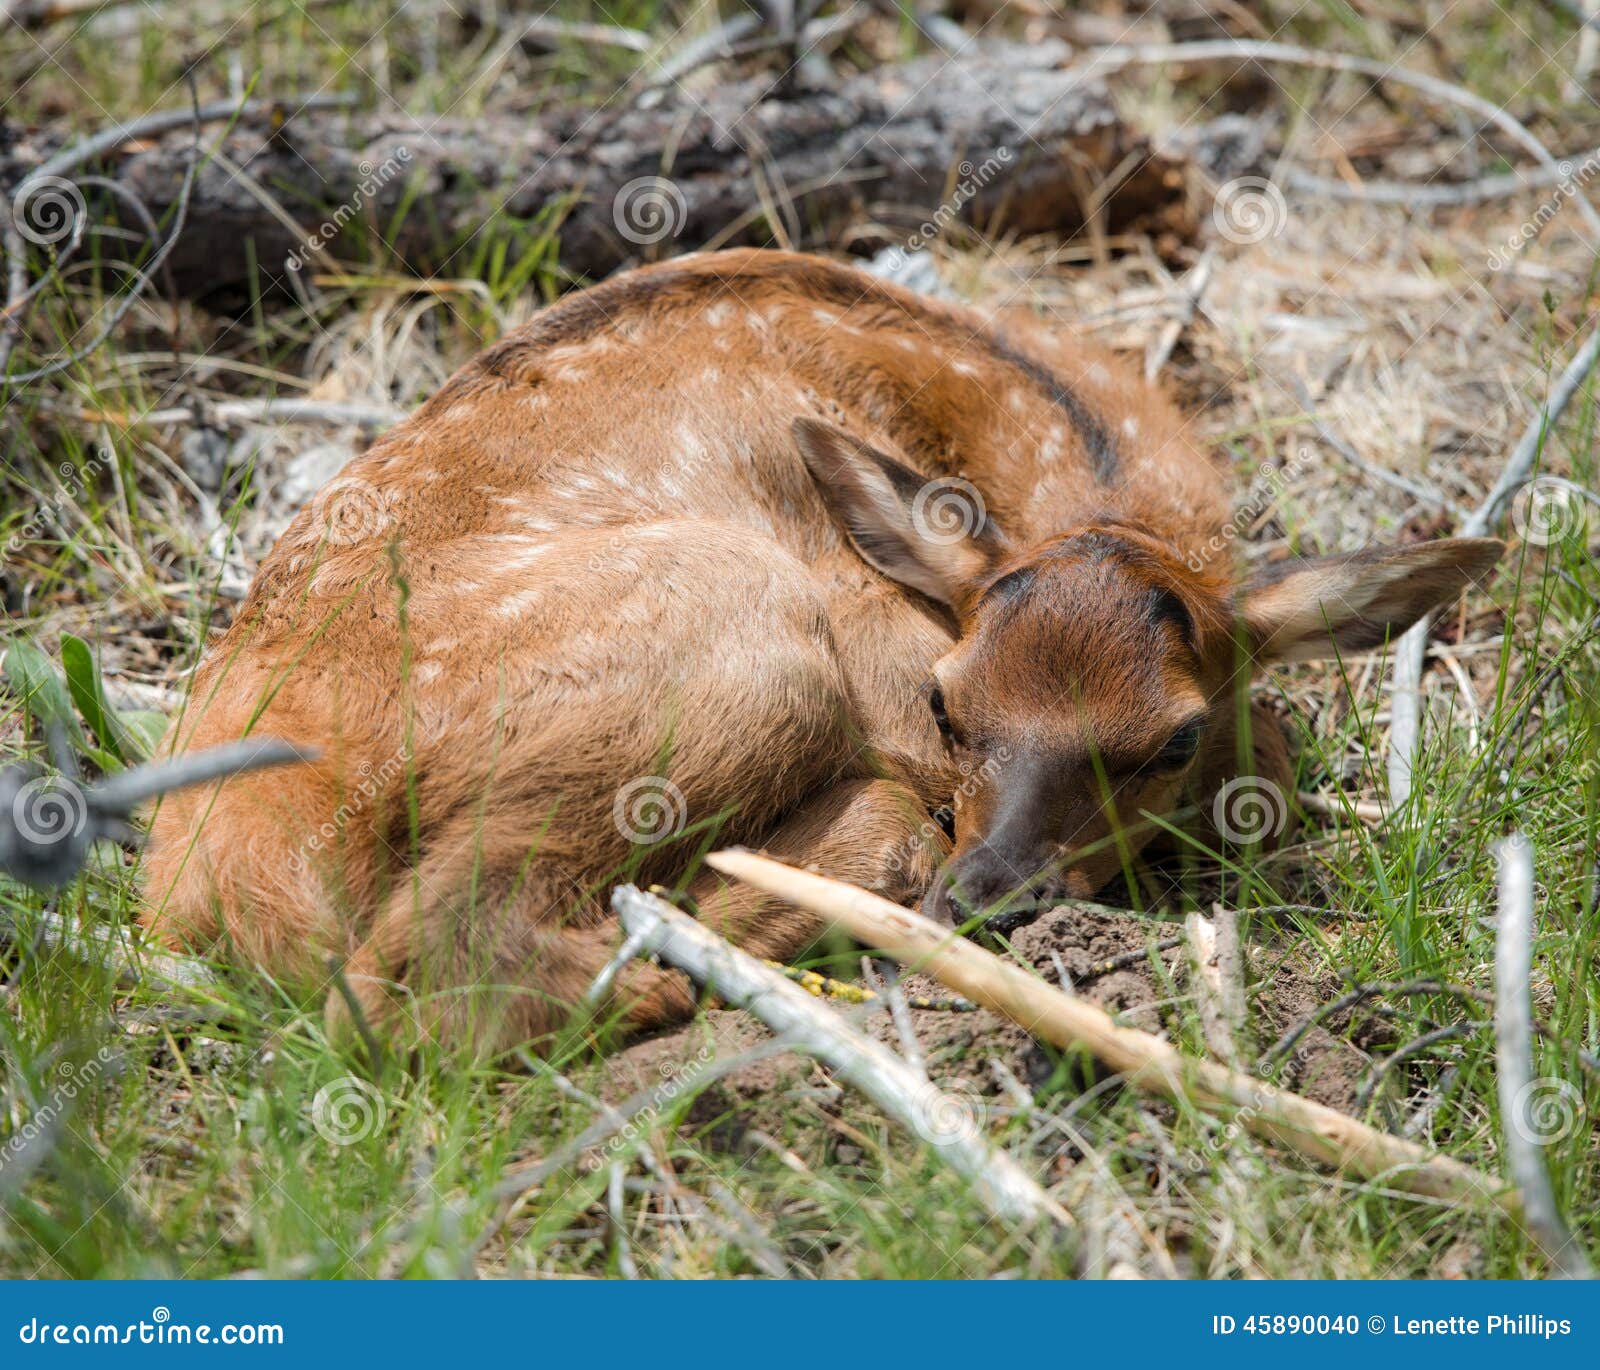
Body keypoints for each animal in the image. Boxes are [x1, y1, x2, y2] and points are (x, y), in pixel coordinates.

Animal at [141, 247, 1502, 1053]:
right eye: (948, 702)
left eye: (1171, 739)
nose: (987, 891)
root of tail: (229, 856)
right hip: (749, 628)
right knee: (409, 971)